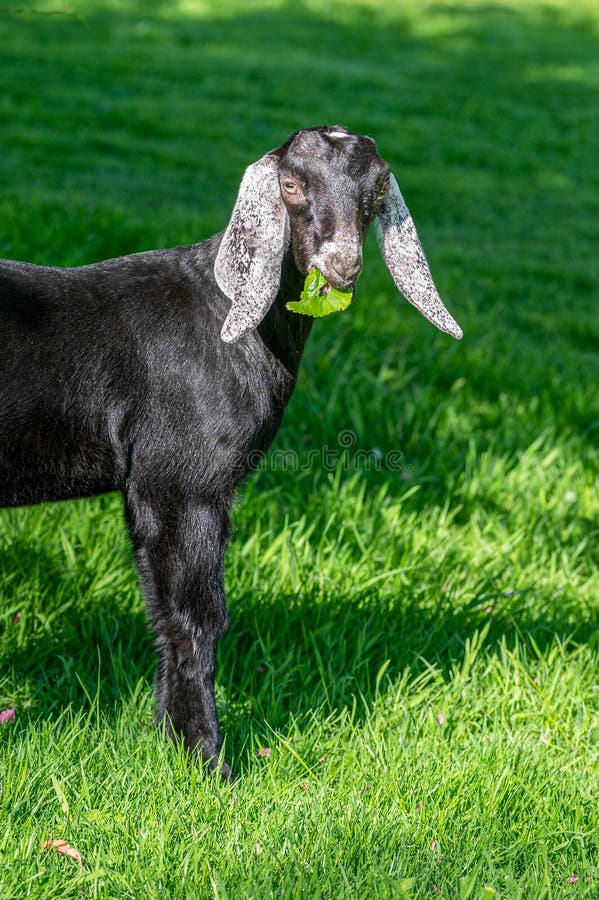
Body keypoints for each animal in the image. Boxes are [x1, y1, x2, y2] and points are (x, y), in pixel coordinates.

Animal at [0, 126, 462, 778]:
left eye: (376, 195)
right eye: (290, 184)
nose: (341, 266)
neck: (229, 313)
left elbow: (168, 614)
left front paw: (172, 743)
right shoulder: (181, 483)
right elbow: (195, 618)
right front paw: (206, 761)